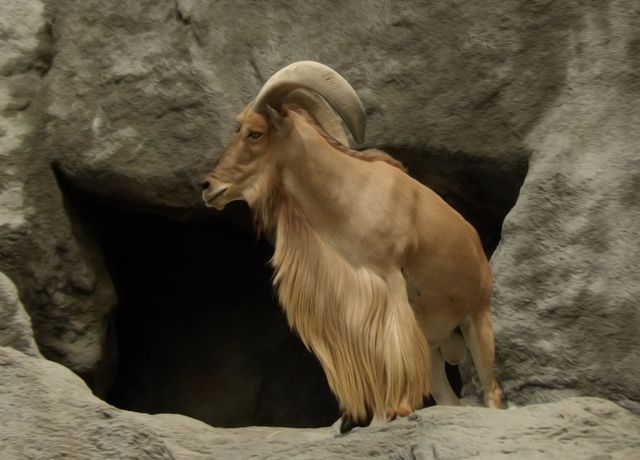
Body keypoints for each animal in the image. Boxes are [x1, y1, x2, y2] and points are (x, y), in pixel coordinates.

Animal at [201, 61, 503, 432]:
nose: (208, 186)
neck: (347, 196)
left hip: (477, 318)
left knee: (492, 393)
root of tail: (475, 245)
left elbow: (392, 351)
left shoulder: (388, 284)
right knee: (449, 398)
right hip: (433, 346)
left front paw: (394, 410)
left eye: (254, 133)